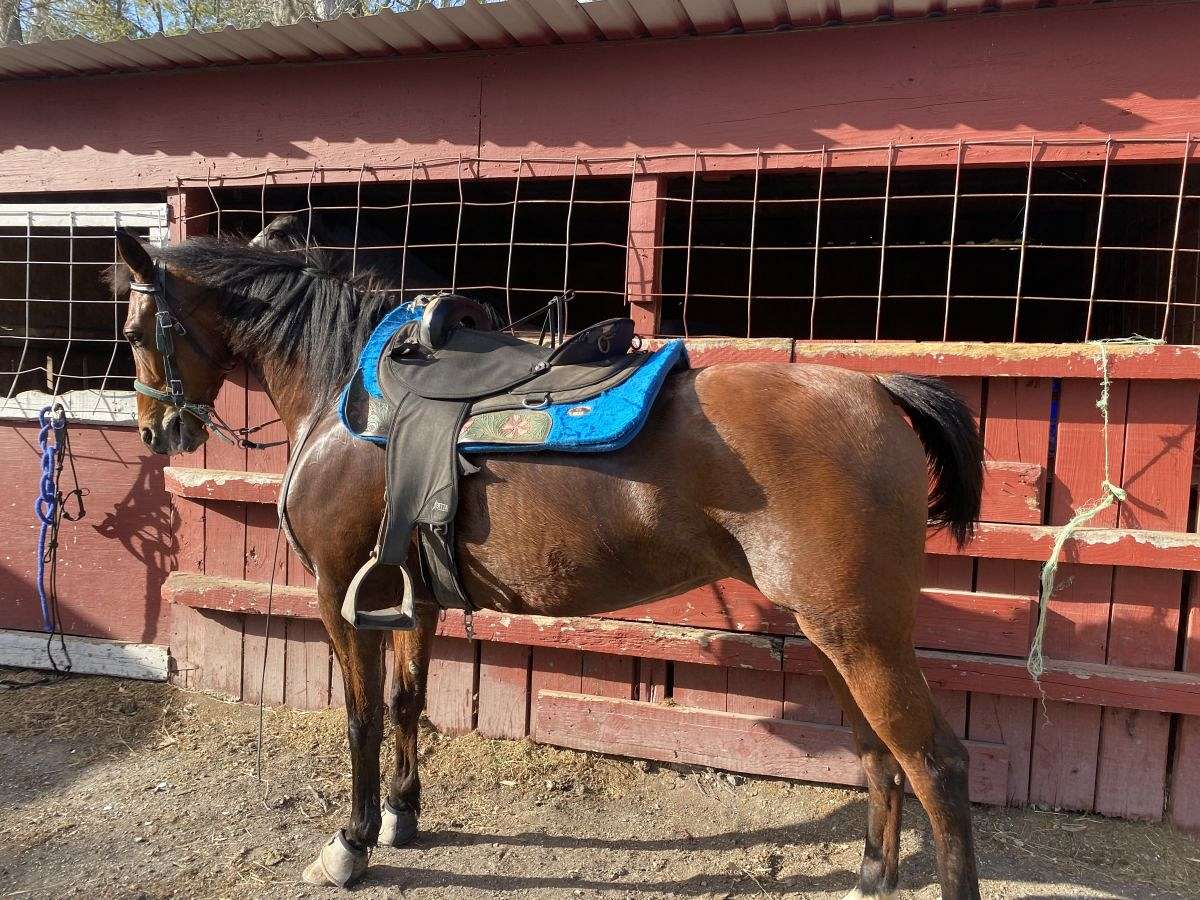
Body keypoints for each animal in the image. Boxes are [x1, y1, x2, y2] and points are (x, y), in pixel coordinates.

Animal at [111, 228, 985, 899]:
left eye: (132, 332)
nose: (157, 432)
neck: (346, 397)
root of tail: (877, 391)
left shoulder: (339, 591)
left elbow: (360, 717)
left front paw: (351, 842)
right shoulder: (414, 595)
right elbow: (405, 702)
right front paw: (401, 815)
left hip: (864, 638)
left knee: (936, 763)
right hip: (832, 634)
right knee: (878, 755)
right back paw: (871, 876)